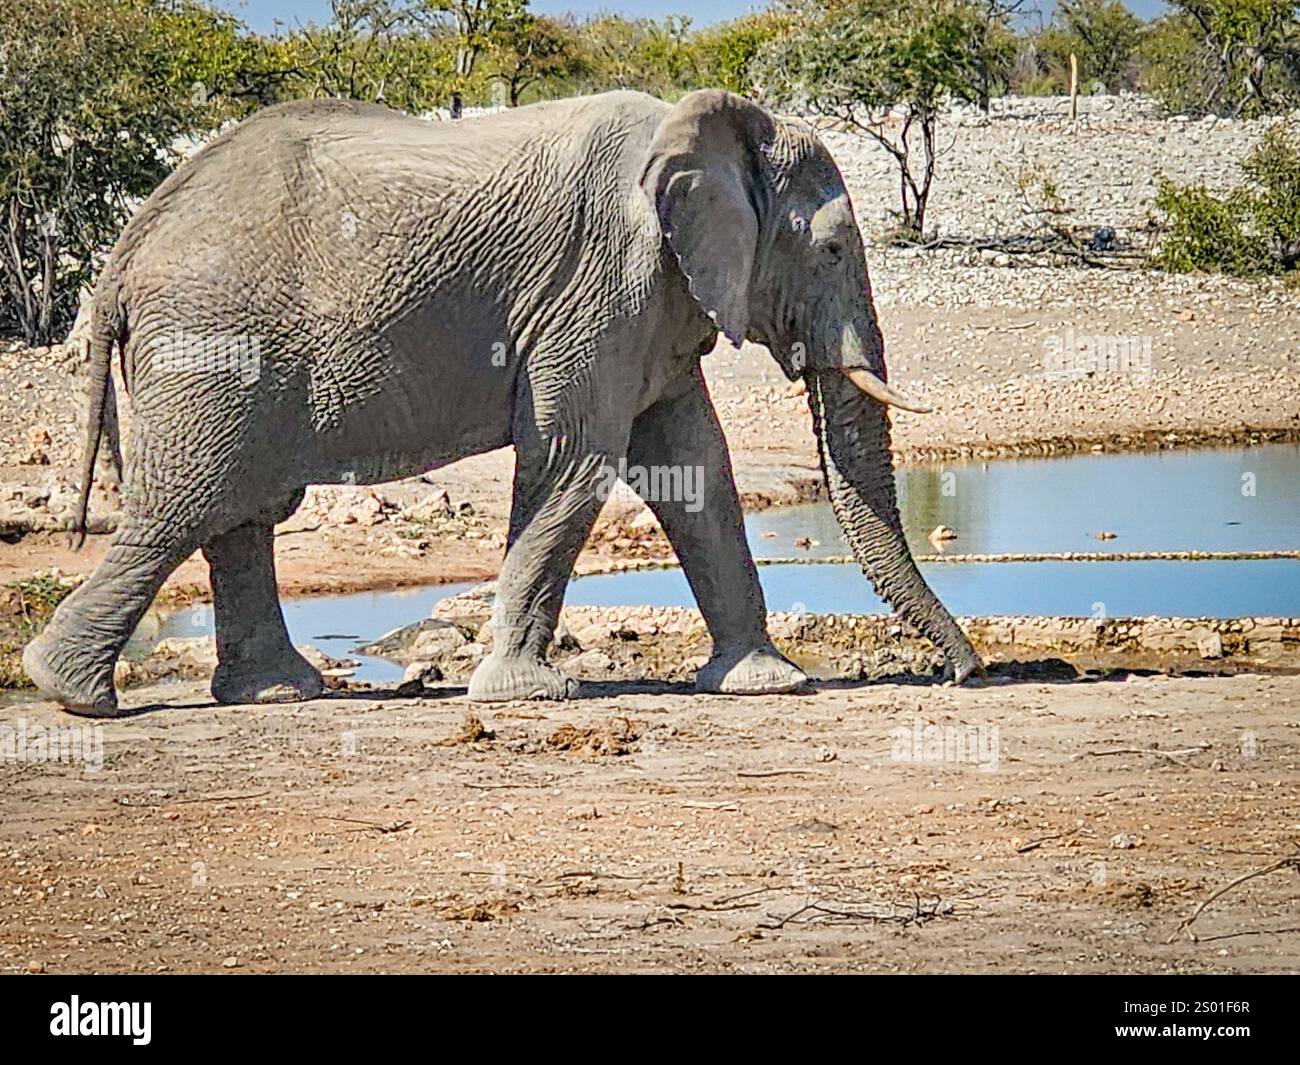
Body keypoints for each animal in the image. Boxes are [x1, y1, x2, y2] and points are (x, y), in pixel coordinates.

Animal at [23, 88, 982, 717]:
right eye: (832, 249)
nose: (964, 675)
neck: (705, 129)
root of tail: (124, 253)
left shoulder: (657, 303)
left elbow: (695, 473)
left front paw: (765, 682)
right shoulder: (601, 285)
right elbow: (576, 461)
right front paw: (530, 693)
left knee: (239, 511)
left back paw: (273, 693)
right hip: (215, 346)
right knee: (188, 504)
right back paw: (71, 692)